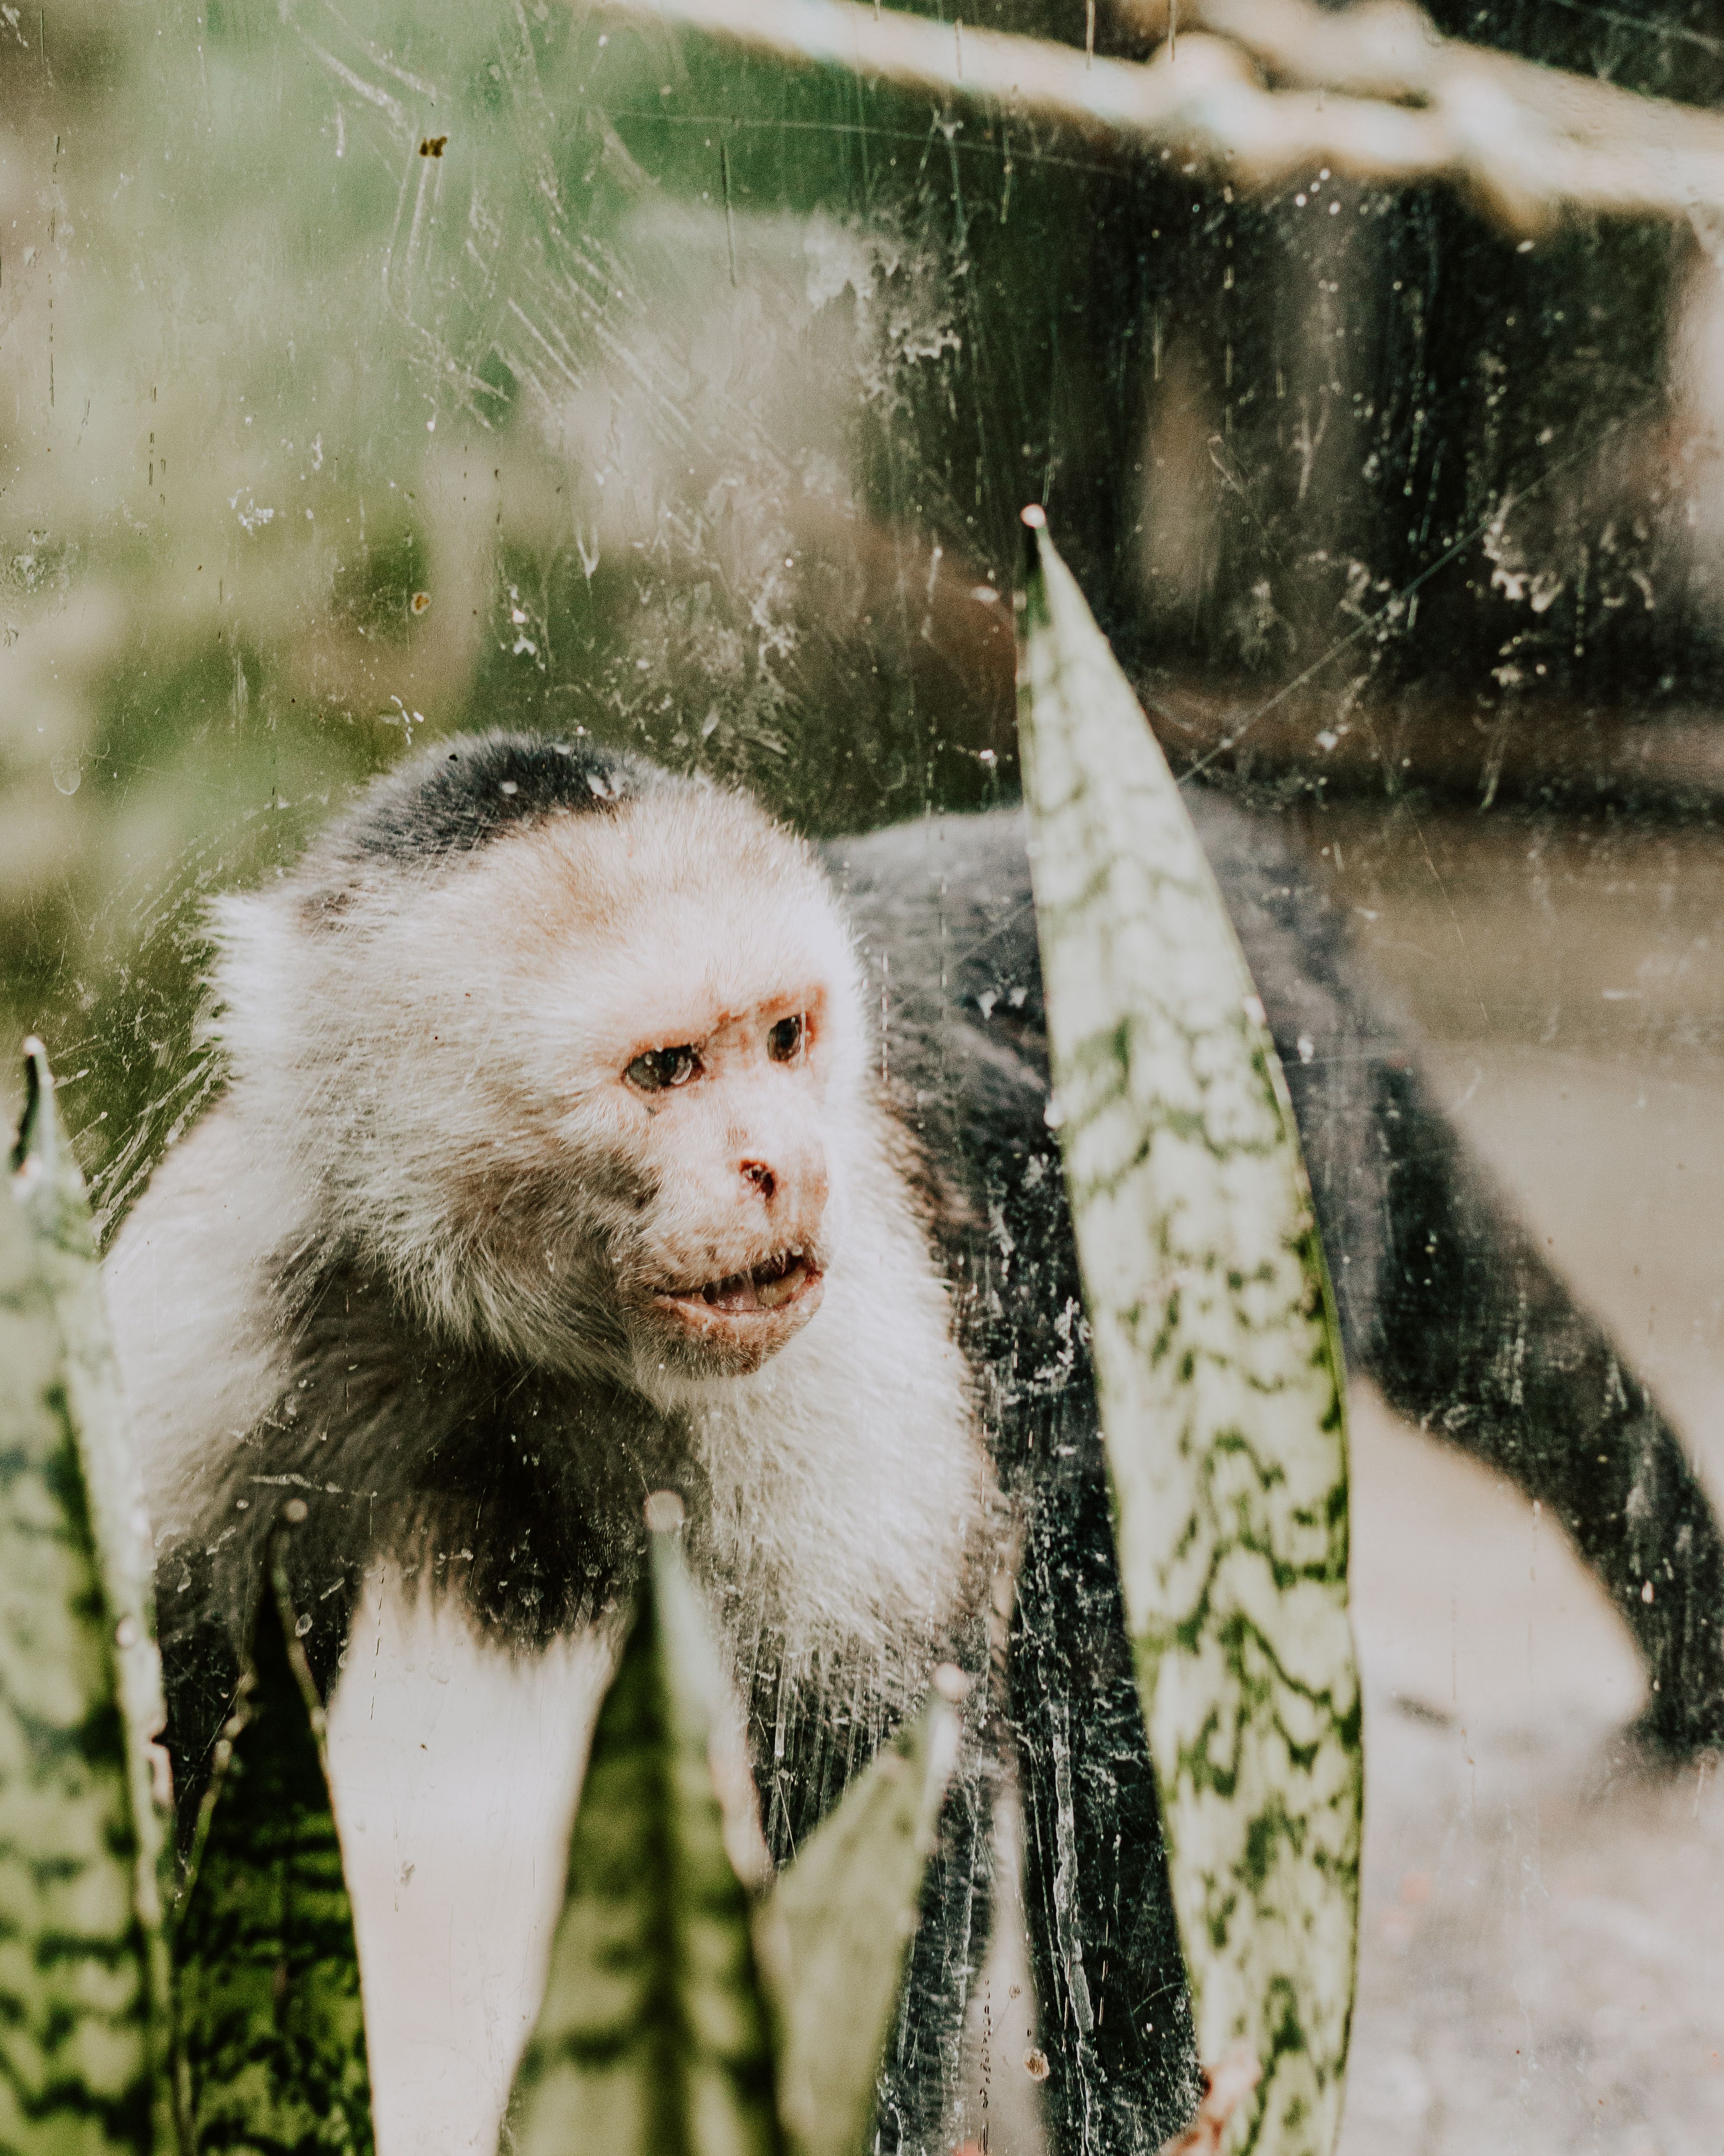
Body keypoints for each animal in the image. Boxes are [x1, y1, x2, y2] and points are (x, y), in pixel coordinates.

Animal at [102, 729, 1724, 2156]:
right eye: (666, 1070)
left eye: (783, 1039)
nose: (782, 1162)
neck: (519, 1320)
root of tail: (1233, 869)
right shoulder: (228, 1297)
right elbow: (185, 1704)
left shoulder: (836, 1344)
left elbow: (874, 1785)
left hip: (1261, 1167)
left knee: (1111, 1650)